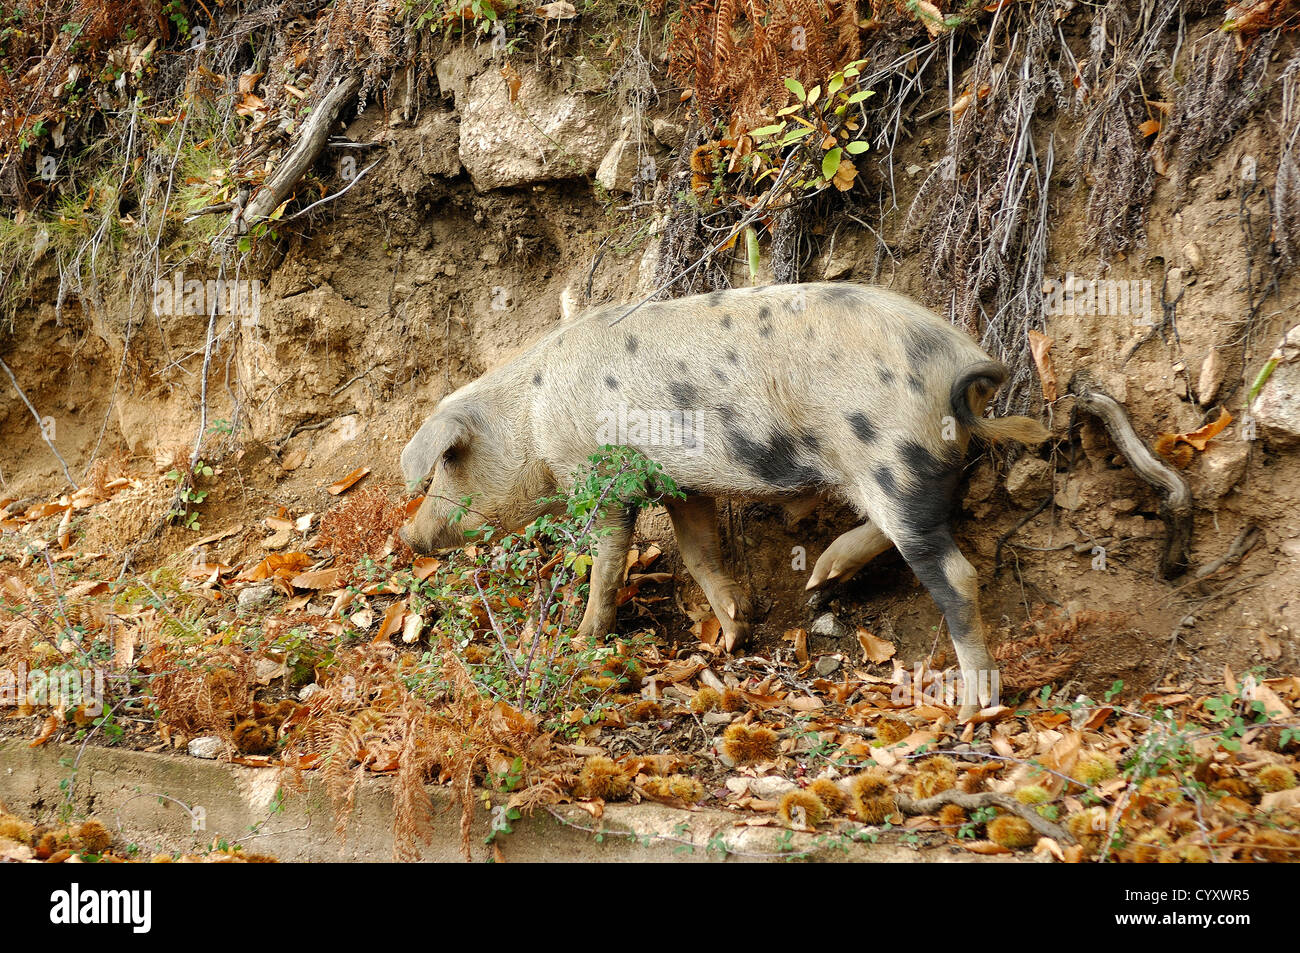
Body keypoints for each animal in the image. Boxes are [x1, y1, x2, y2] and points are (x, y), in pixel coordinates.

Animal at [400, 282, 1048, 717]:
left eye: (445, 466)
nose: (409, 535)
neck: (531, 420)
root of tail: (960, 362)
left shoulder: (602, 476)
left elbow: (609, 559)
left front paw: (580, 639)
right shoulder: (683, 484)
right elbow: (697, 550)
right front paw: (735, 635)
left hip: (894, 458)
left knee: (954, 573)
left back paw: (970, 708)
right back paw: (820, 577)